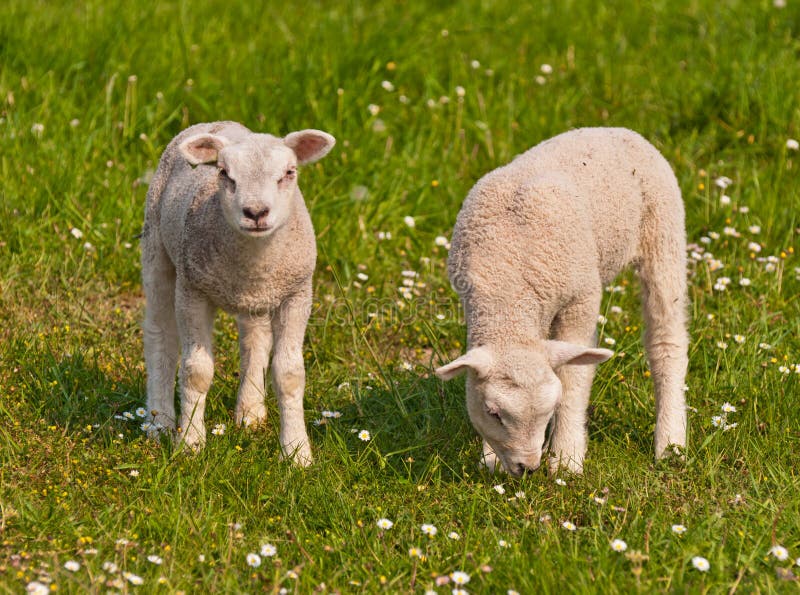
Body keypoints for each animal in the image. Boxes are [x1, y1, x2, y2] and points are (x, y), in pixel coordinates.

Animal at [140, 121, 335, 464]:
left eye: (289, 172)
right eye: (224, 173)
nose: (256, 212)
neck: (255, 258)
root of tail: (219, 123)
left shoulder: (297, 294)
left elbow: (289, 373)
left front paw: (296, 452)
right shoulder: (192, 291)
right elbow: (196, 371)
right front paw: (190, 443)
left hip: (257, 299)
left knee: (255, 340)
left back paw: (250, 411)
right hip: (156, 247)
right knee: (159, 334)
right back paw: (159, 420)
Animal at [436, 127, 688, 477]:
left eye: (550, 409)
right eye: (493, 412)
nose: (526, 467)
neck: (510, 287)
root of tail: (617, 130)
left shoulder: (580, 298)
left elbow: (573, 377)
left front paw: (566, 458)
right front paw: (491, 458)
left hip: (664, 233)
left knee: (666, 339)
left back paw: (670, 442)